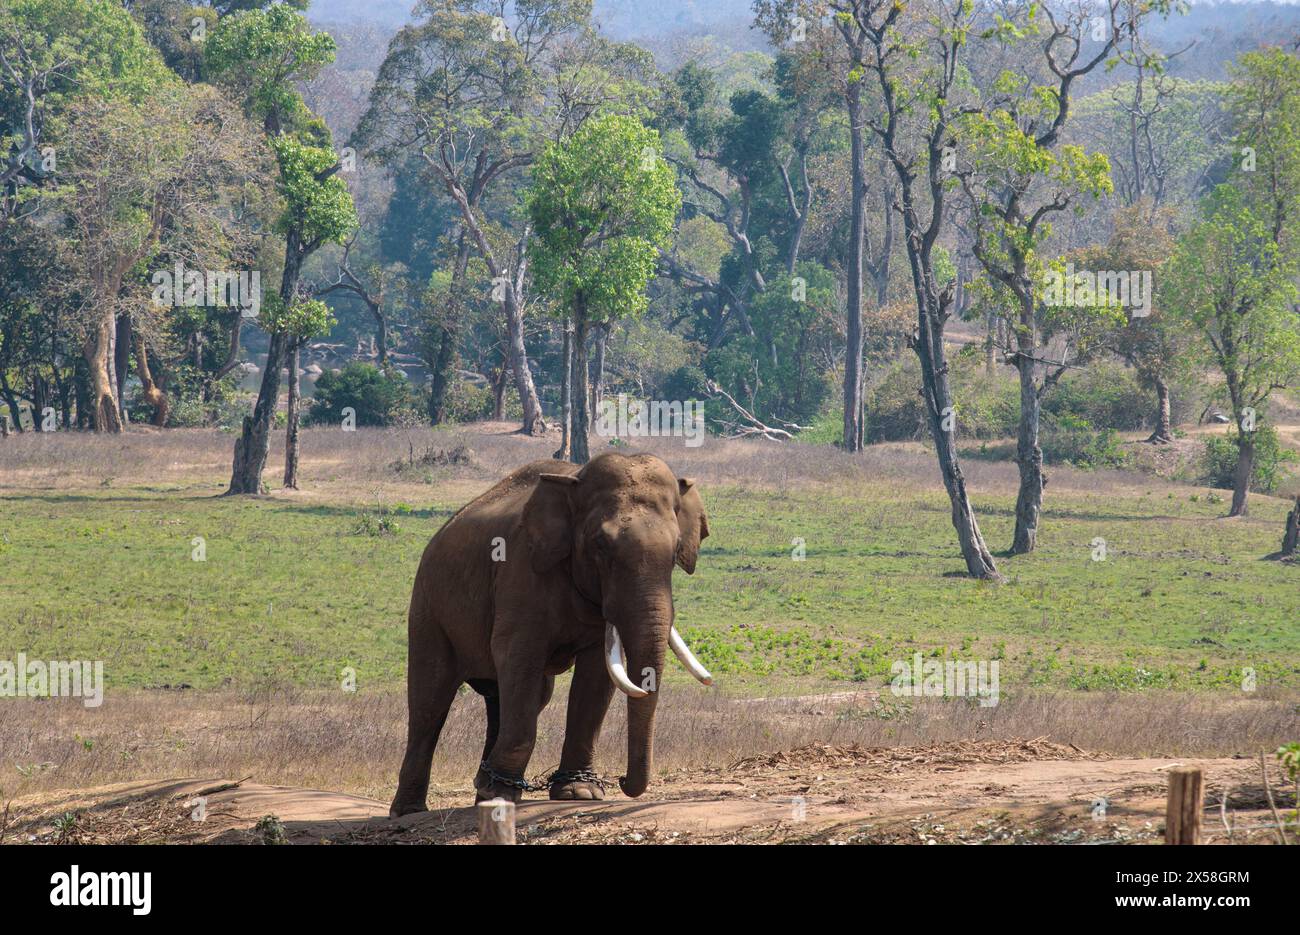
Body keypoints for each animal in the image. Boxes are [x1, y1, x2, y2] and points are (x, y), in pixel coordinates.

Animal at [389, 451, 712, 817]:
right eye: (601, 545)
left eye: (676, 550)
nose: (621, 780)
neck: (574, 482)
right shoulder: (520, 571)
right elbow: (518, 658)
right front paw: (513, 794)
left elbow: (595, 676)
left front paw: (579, 792)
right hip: (428, 606)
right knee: (430, 700)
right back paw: (412, 810)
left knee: (513, 697)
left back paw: (485, 792)